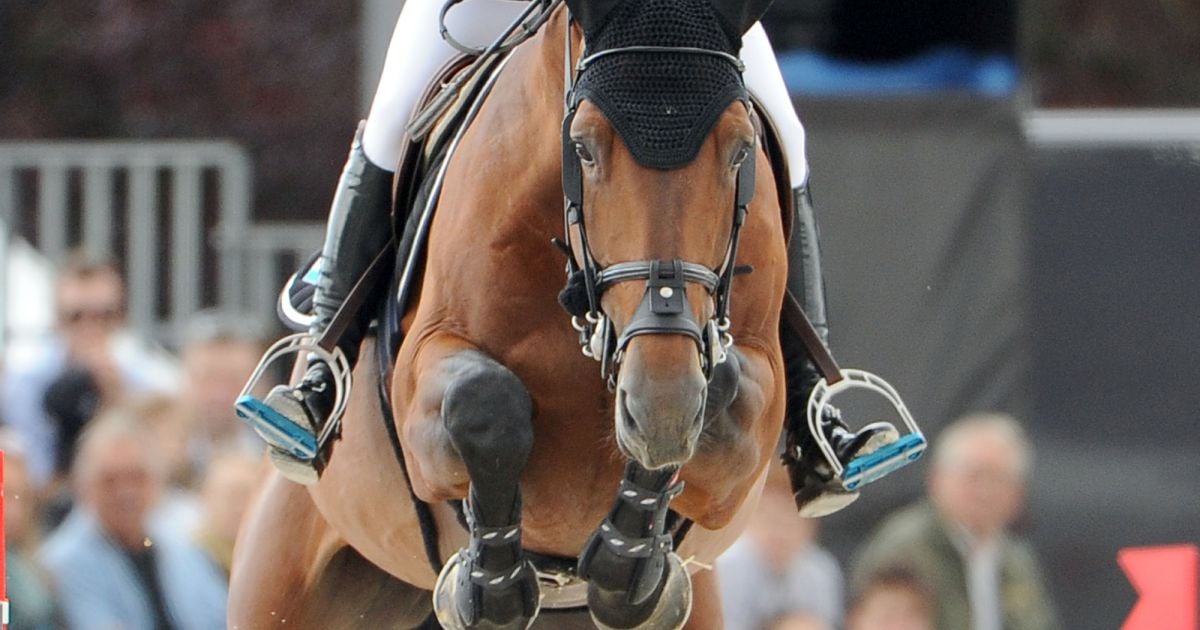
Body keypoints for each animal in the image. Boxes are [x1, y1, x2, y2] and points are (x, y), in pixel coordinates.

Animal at [230, 5, 790, 628]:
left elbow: (718, 397)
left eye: (740, 149)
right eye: (583, 146)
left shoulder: (747, 422)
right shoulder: (423, 380)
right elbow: (482, 400)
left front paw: (627, 569)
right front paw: (491, 589)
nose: (659, 405)